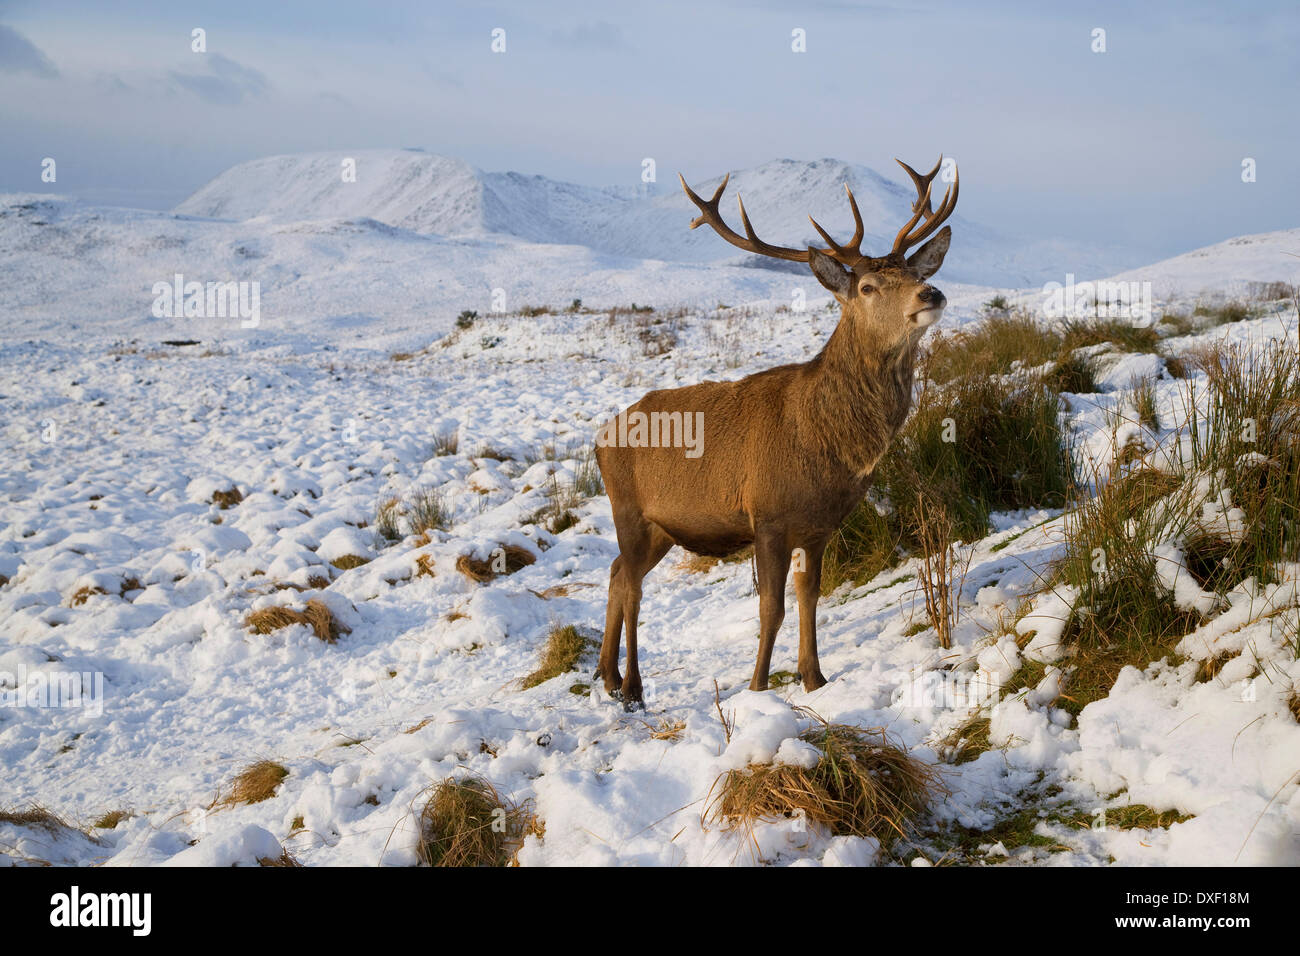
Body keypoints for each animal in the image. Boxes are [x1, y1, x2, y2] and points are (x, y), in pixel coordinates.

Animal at [593, 157, 958, 710]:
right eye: (867, 287)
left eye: (917, 272)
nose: (931, 292)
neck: (826, 446)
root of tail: (597, 439)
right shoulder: (766, 515)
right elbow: (771, 608)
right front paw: (757, 688)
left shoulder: (821, 525)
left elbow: (810, 597)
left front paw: (815, 679)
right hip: (628, 509)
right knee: (632, 587)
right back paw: (633, 686)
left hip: (662, 528)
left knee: (616, 574)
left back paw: (607, 676)